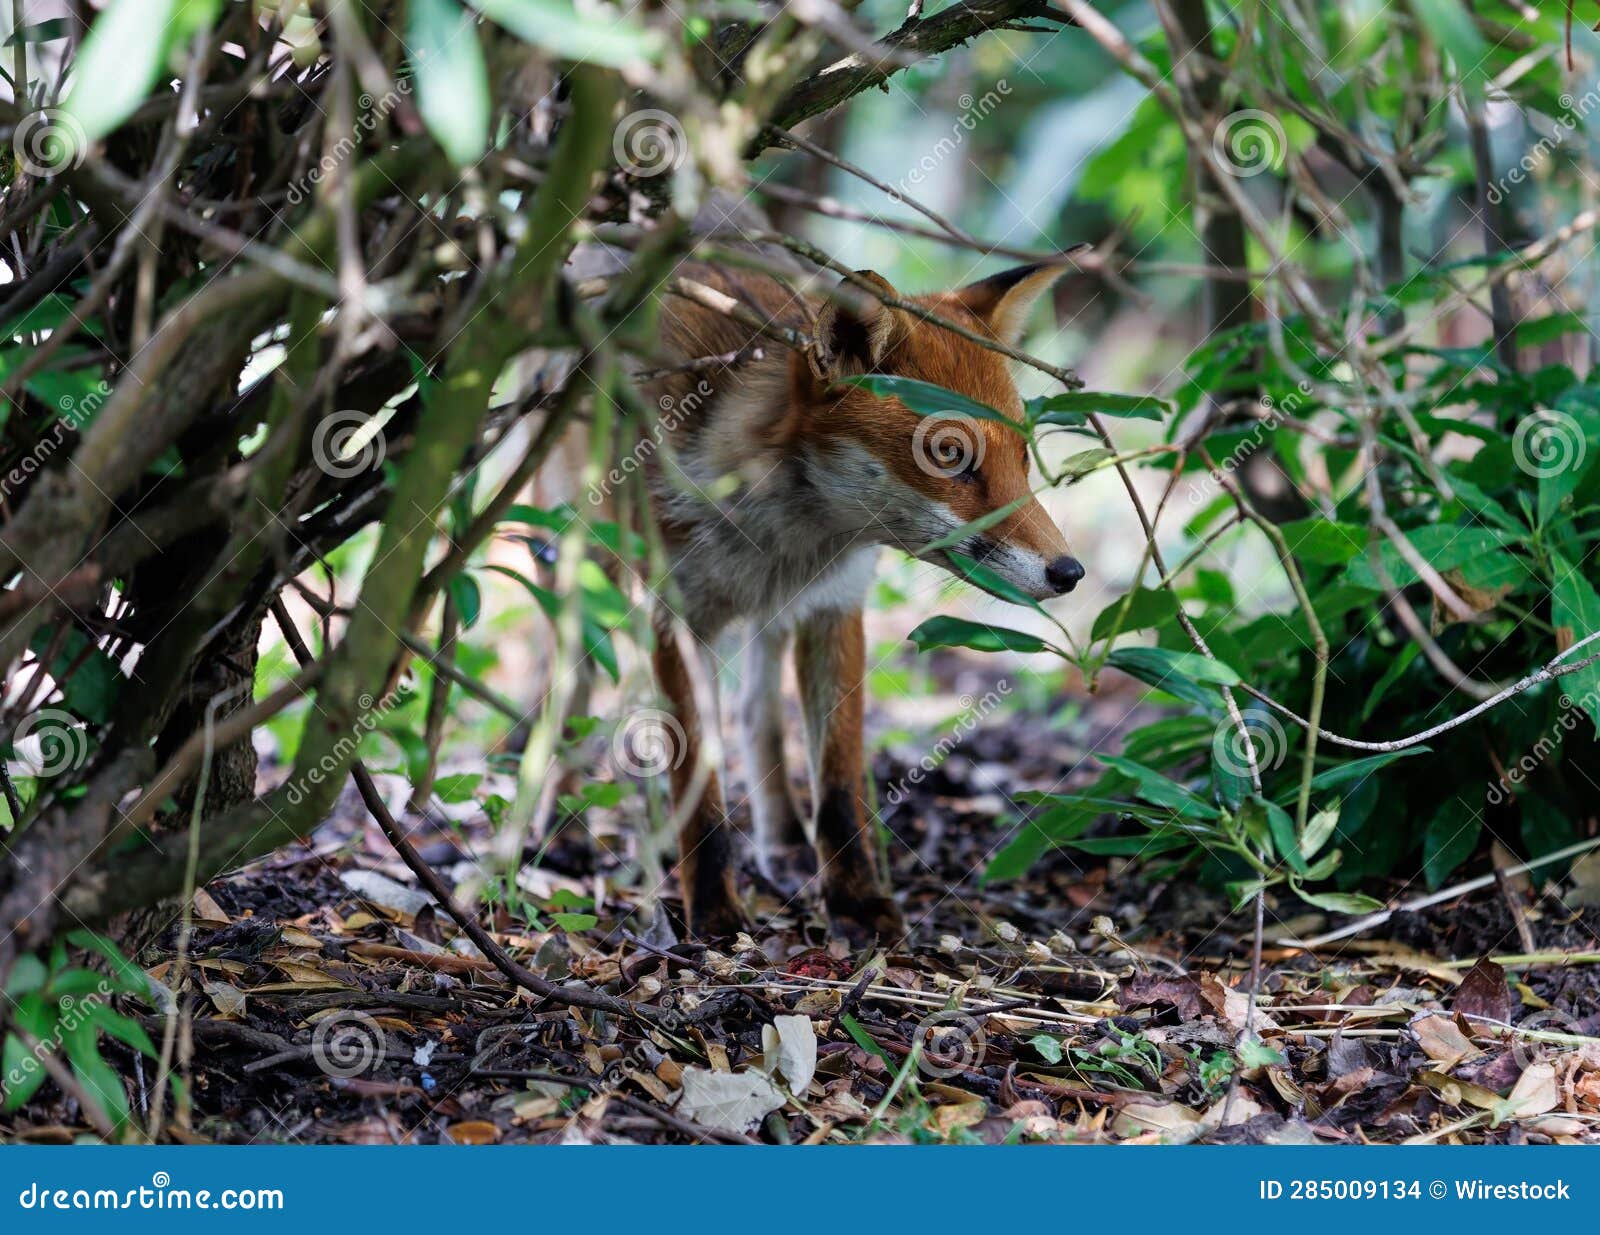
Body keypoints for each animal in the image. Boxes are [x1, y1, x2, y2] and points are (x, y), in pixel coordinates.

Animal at [637, 259, 1083, 942]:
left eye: (1023, 457)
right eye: (949, 454)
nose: (1070, 572)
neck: (783, 533)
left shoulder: (834, 606)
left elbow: (840, 784)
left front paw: (856, 902)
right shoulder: (678, 616)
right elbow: (698, 789)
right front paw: (713, 913)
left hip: (774, 619)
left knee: (757, 712)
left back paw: (783, 841)